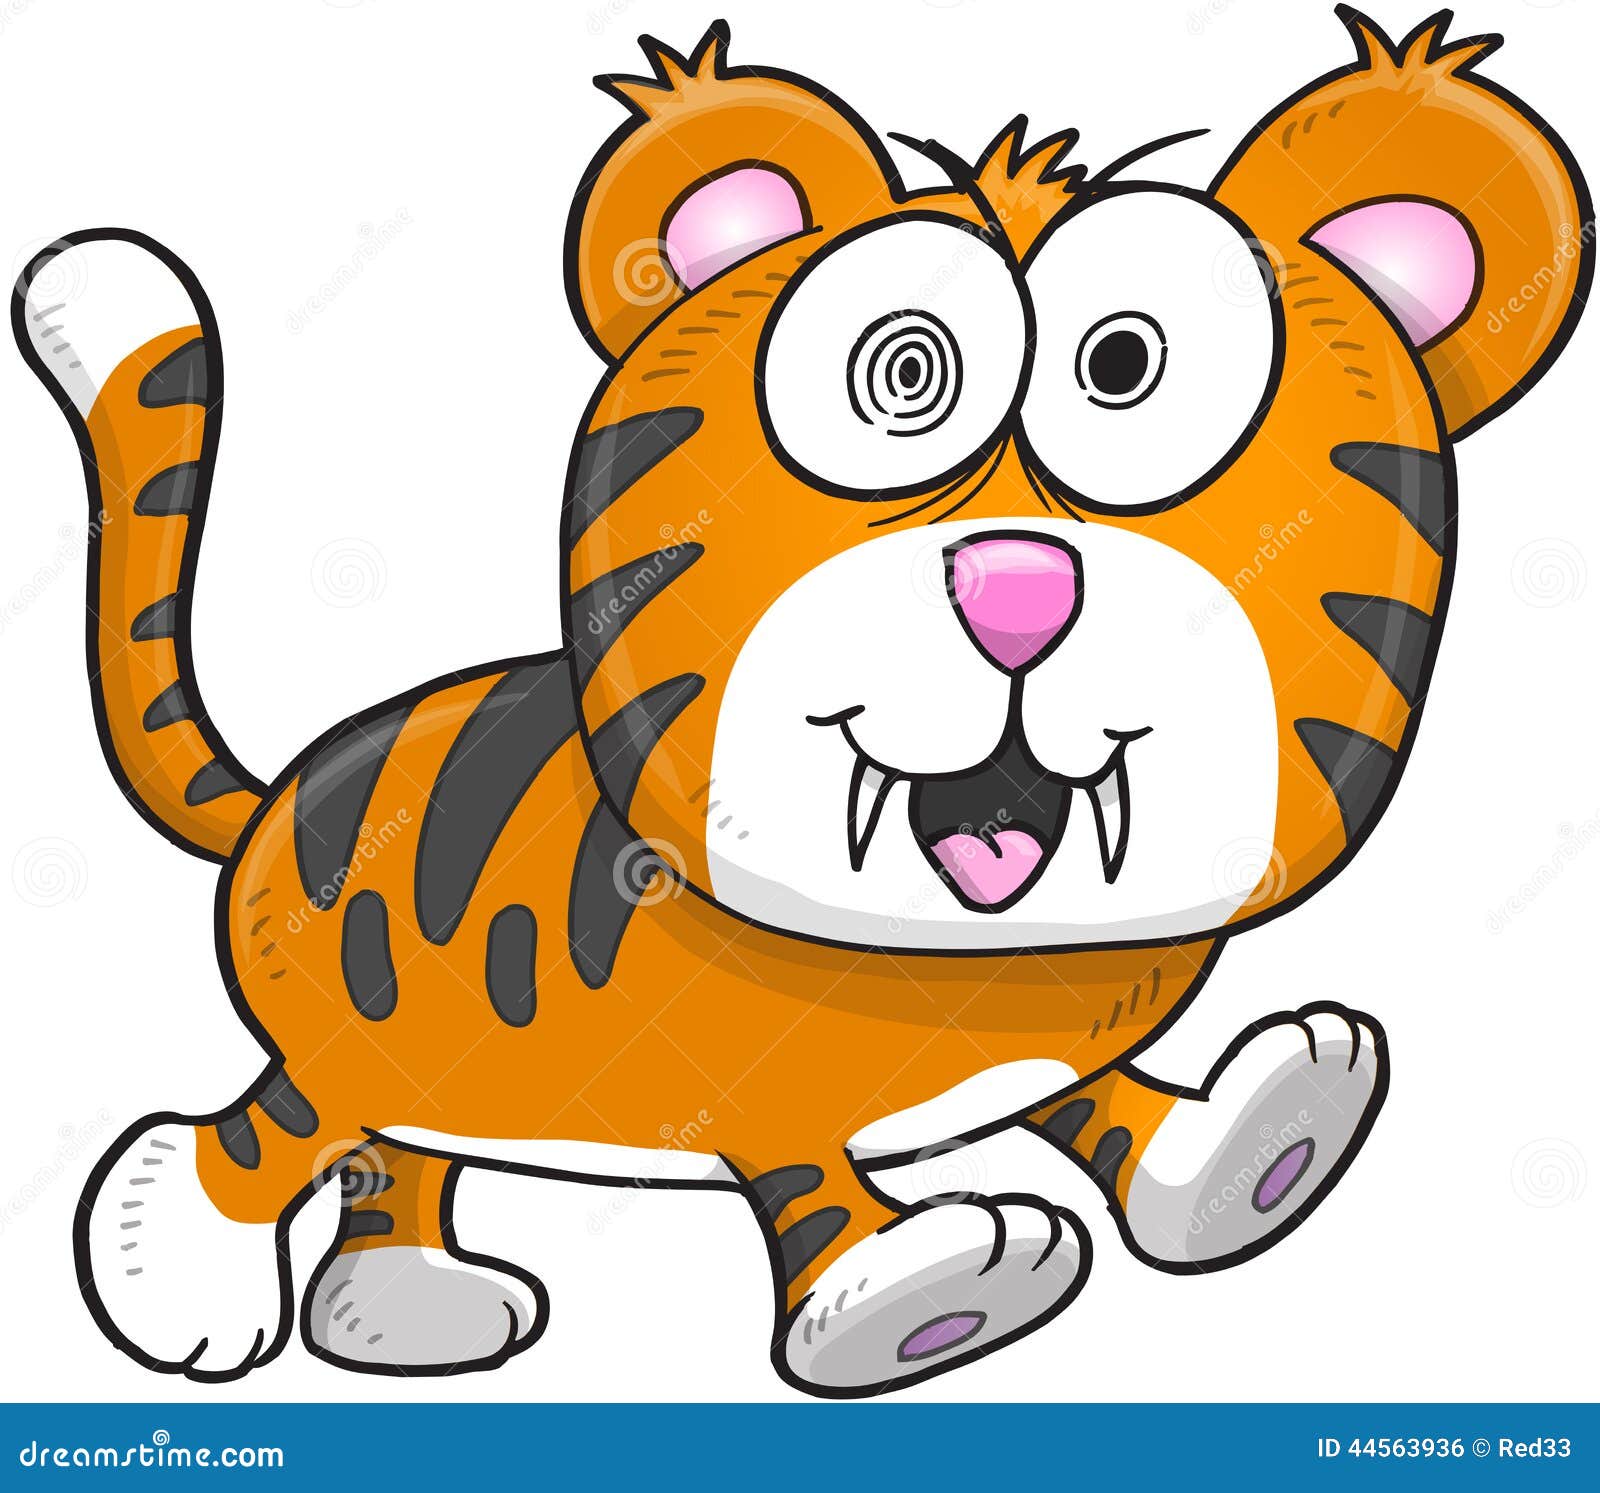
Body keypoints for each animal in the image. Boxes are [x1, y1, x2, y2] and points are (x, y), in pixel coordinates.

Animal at [13, 8, 1588, 1397]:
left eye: (1126, 367)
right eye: (904, 376)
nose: (1017, 592)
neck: (970, 960)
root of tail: (288, 783)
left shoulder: (1039, 1046)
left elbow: (1103, 1098)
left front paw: (1265, 1144)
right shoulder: (769, 1102)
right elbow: (822, 1203)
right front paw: (936, 1297)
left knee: (393, 1155)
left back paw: (409, 1308)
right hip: (354, 1027)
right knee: (267, 1132)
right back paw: (176, 1282)